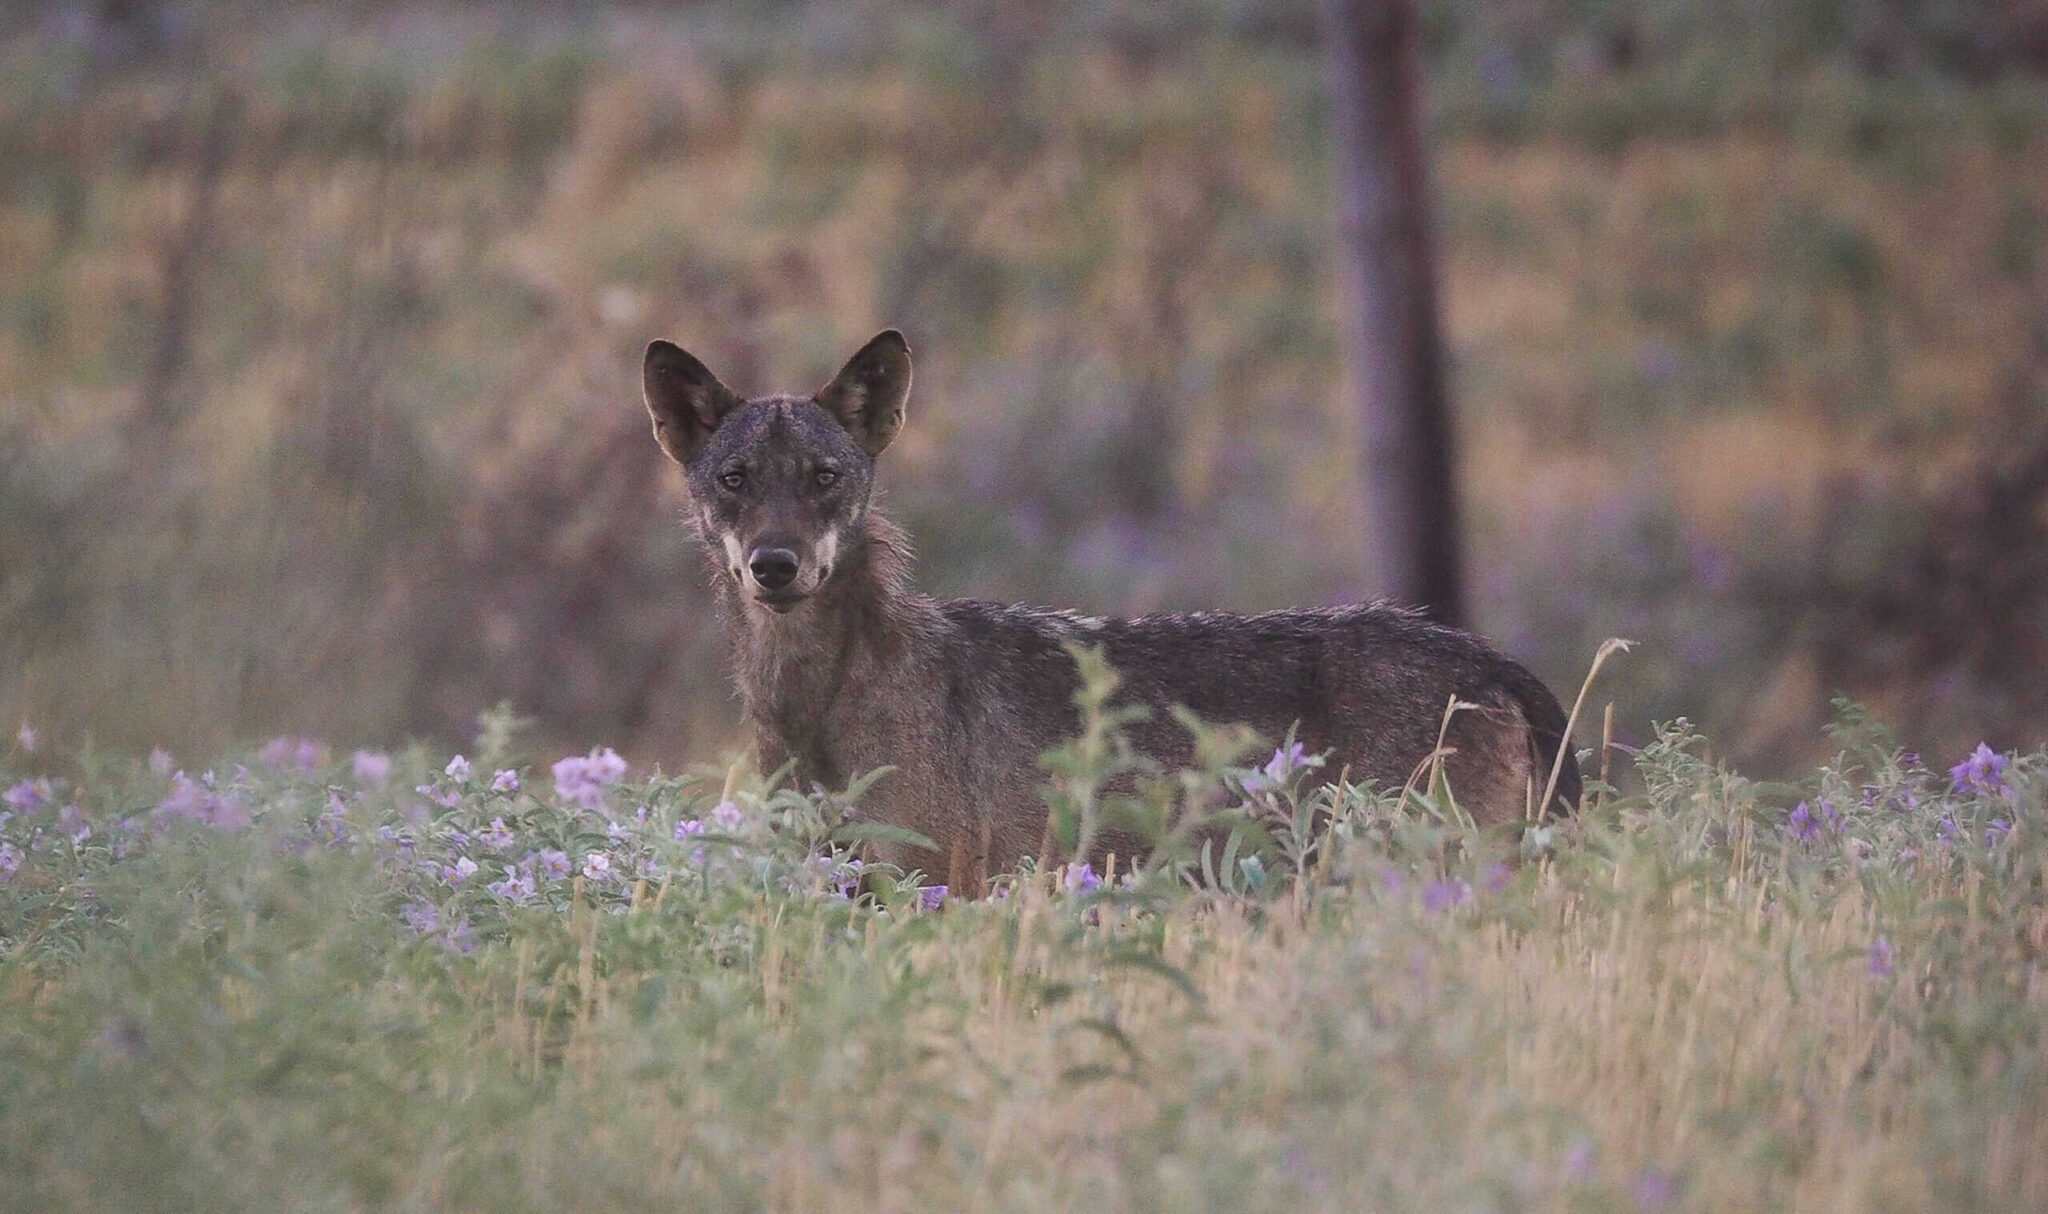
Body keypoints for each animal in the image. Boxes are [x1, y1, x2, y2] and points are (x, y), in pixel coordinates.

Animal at [643, 329, 1579, 892]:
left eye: (824, 478)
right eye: (736, 481)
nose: (775, 566)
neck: (815, 704)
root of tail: (1492, 660)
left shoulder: (937, 886)